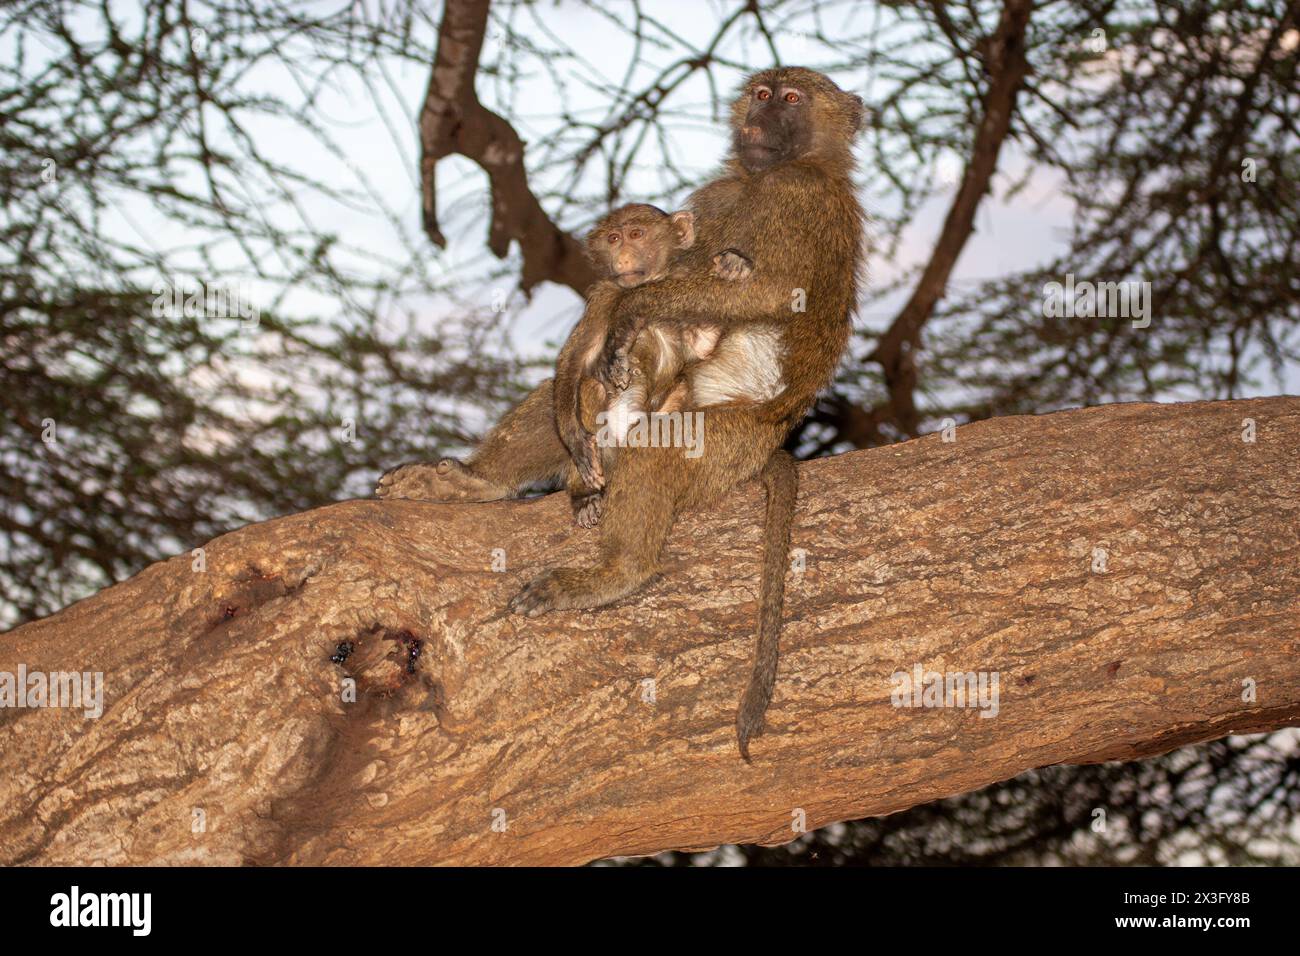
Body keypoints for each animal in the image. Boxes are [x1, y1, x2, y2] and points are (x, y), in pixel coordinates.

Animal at [377, 68, 866, 760]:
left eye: (791, 99)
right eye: (762, 95)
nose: (759, 120)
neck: (770, 174)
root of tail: (770, 445)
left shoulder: (802, 200)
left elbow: (770, 291)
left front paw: (649, 308)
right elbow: (591, 348)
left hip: (728, 442)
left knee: (658, 446)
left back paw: (618, 572)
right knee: (579, 395)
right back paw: (475, 483)